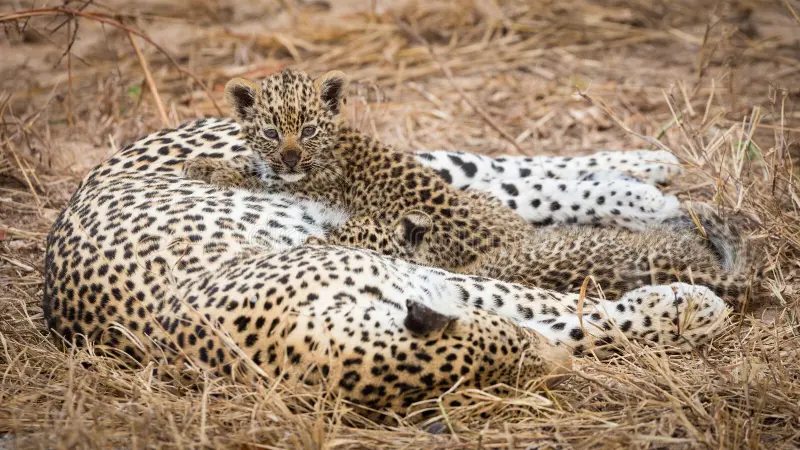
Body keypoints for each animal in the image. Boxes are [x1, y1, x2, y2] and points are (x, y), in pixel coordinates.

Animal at [43, 114, 732, 418]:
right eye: (510, 364)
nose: (554, 369)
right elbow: (565, 316)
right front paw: (682, 306)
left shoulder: (422, 275)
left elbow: (546, 302)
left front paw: (689, 303)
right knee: (500, 187)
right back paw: (643, 184)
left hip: (347, 162)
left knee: (487, 167)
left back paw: (643, 173)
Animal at [183, 68, 754, 309]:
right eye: (271, 129)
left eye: (306, 130)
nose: (289, 154)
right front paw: (213, 163)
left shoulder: (315, 182)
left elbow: (254, 174)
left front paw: (206, 168)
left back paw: (654, 189)